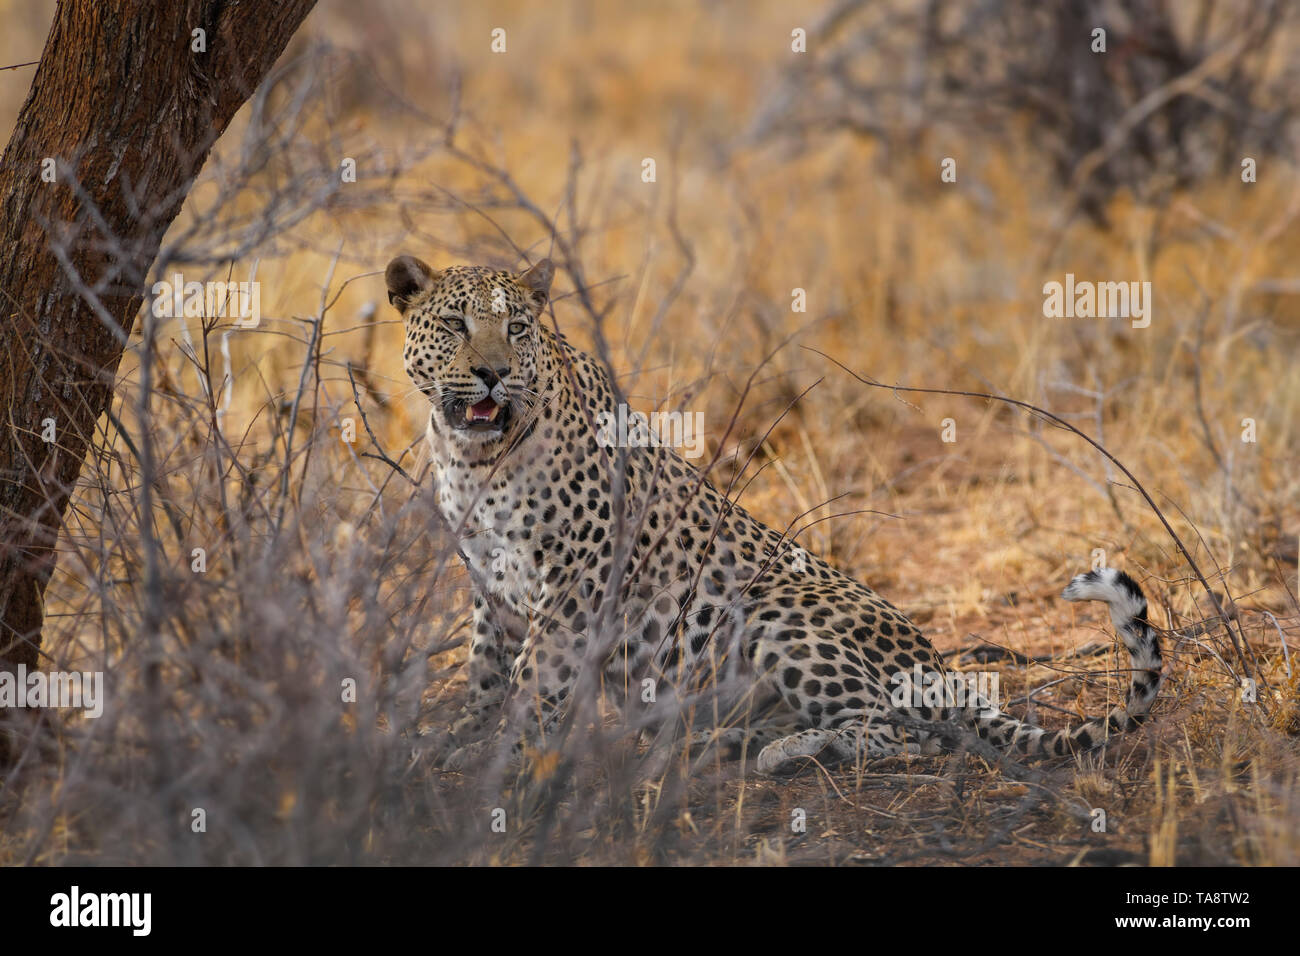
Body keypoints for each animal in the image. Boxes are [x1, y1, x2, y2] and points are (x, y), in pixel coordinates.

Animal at [386, 253, 1165, 776]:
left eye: (518, 328)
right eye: (456, 324)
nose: (492, 373)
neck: (474, 458)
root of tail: (943, 671)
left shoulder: (576, 577)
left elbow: (532, 676)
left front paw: (509, 755)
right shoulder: (488, 581)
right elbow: (486, 669)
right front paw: (462, 738)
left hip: (776, 608)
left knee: (895, 735)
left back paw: (786, 752)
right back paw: (715, 742)